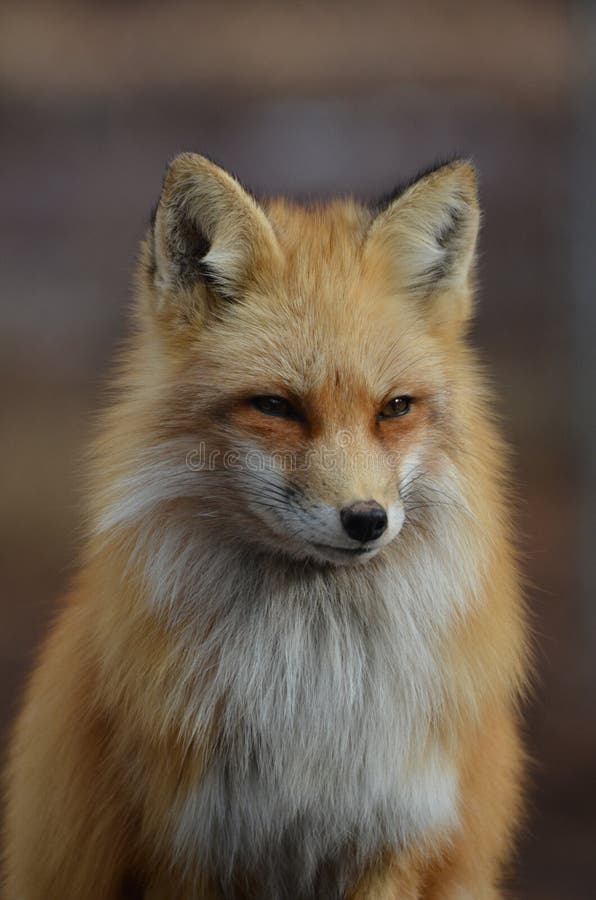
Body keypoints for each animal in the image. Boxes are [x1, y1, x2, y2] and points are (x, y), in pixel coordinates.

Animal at [2, 154, 528, 899]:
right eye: (276, 407)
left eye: (395, 408)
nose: (368, 520)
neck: (313, 694)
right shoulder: (188, 847)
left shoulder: (395, 840)